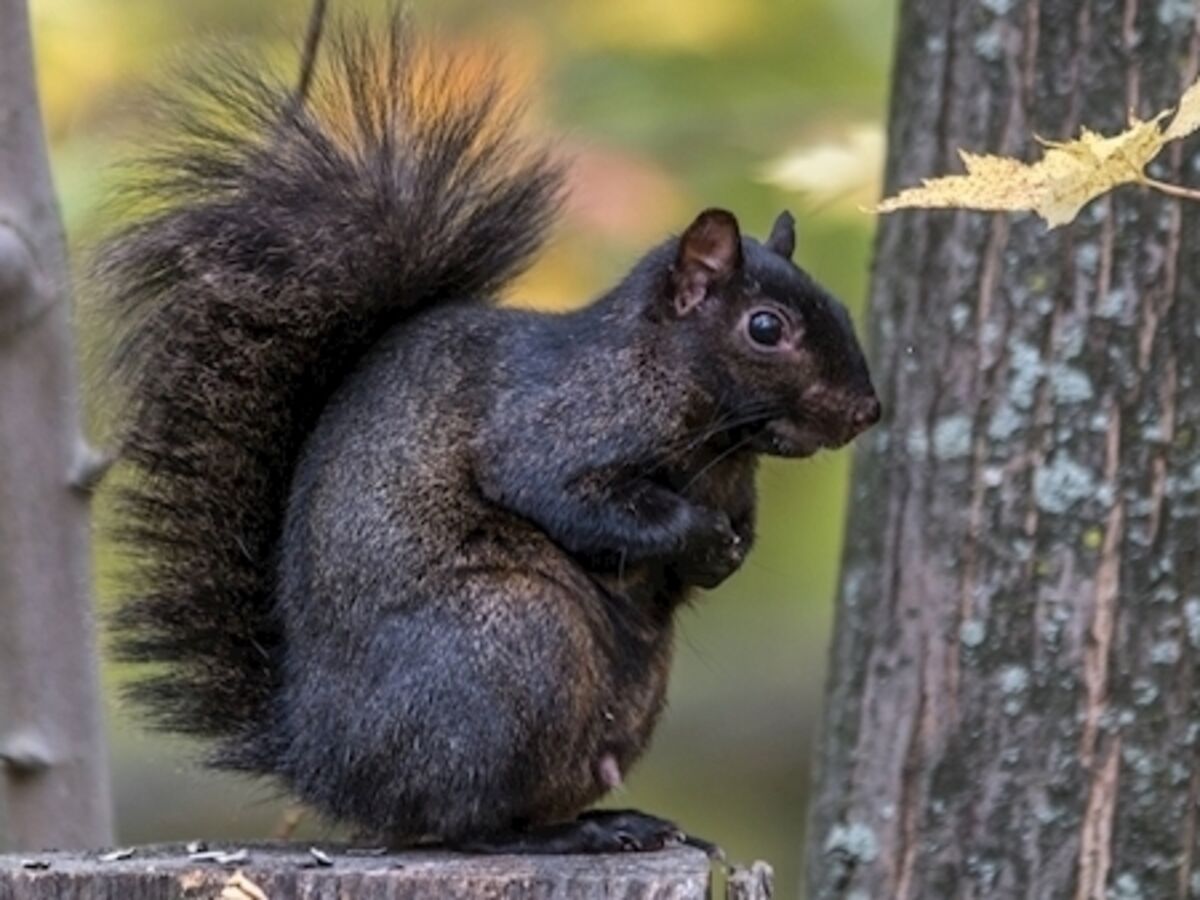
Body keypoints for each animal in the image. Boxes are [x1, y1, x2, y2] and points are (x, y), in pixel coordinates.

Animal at [96, 11, 880, 854]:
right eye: (765, 327)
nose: (866, 409)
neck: (715, 439)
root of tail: (325, 763)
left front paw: (727, 553)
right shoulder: (553, 431)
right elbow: (574, 500)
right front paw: (700, 535)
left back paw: (610, 818)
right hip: (513, 646)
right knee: (462, 822)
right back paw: (561, 837)